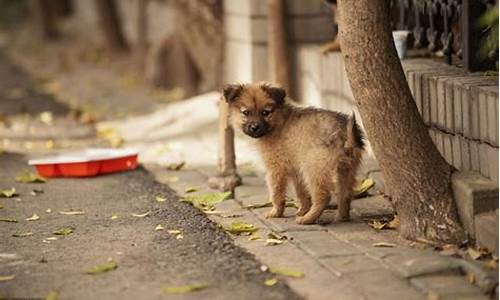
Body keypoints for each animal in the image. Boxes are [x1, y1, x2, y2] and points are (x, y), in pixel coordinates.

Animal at [225, 83, 366, 224]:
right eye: (246, 113)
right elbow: (301, 193)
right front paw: (302, 210)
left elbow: (276, 193)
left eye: (265, 112)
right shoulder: (296, 171)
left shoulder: (276, 169)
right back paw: (341, 217)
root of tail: (344, 133)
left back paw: (307, 219)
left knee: (323, 196)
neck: (278, 122)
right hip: (345, 170)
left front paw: (276, 212)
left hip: (314, 169)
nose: (255, 127)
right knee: (345, 195)